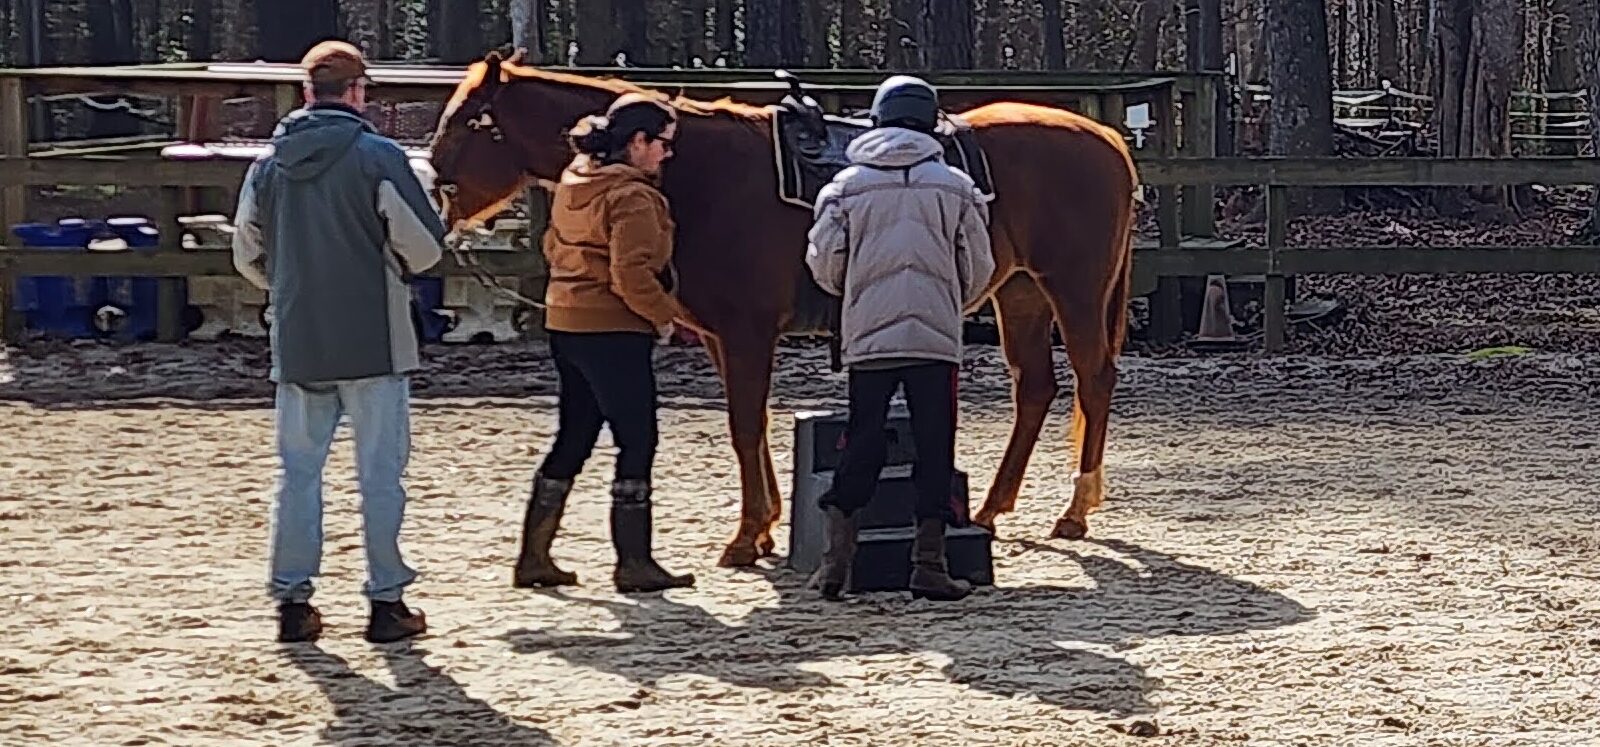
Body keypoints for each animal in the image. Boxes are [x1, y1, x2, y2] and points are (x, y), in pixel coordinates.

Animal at [429, 53, 1139, 568]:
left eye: (465, 121)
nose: (433, 180)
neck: (701, 171)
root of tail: (1105, 134)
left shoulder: (747, 333)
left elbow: (746, 425)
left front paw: (746, 538)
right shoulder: (723, 337)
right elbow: (753, 425)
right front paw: (765, 524)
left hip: (1072, 289)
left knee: (1094, 380)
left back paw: (1076, 510)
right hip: (1020, 293)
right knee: (1036, 388)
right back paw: (993, 507)